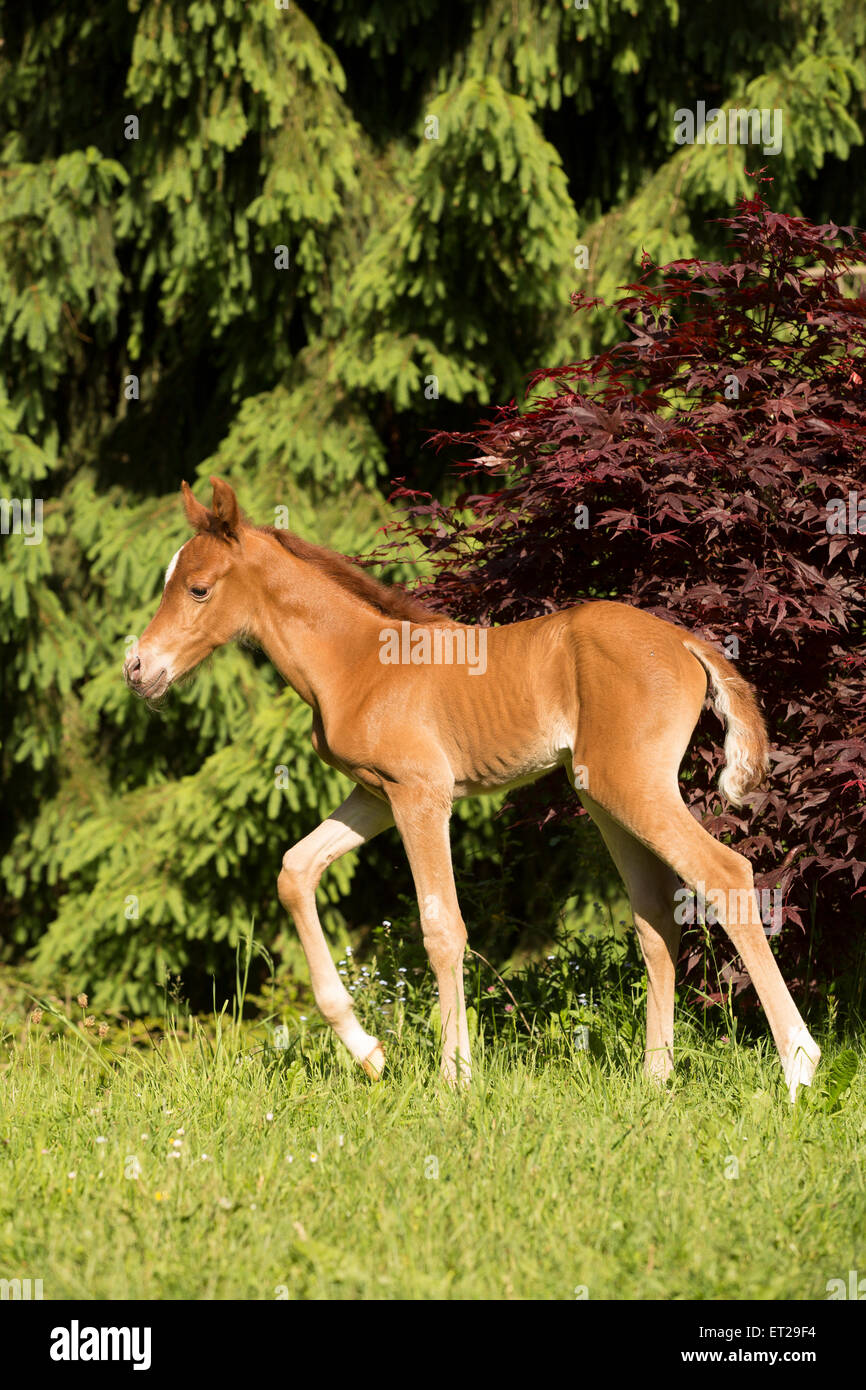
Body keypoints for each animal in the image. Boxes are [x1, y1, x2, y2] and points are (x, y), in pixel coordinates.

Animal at [123, 477, 821, 1101]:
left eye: (198, 589)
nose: (137, 669)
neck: (359, 662)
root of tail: (682, 639)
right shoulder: (376, 796)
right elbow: (295, 871)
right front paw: (369, 1053)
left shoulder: (421, 793)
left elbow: (441, 926)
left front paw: (454, 1076)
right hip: (605, 798)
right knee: (655, 913)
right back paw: (655, 1078)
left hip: (632, 788)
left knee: (725, 874)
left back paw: (798, 1066)